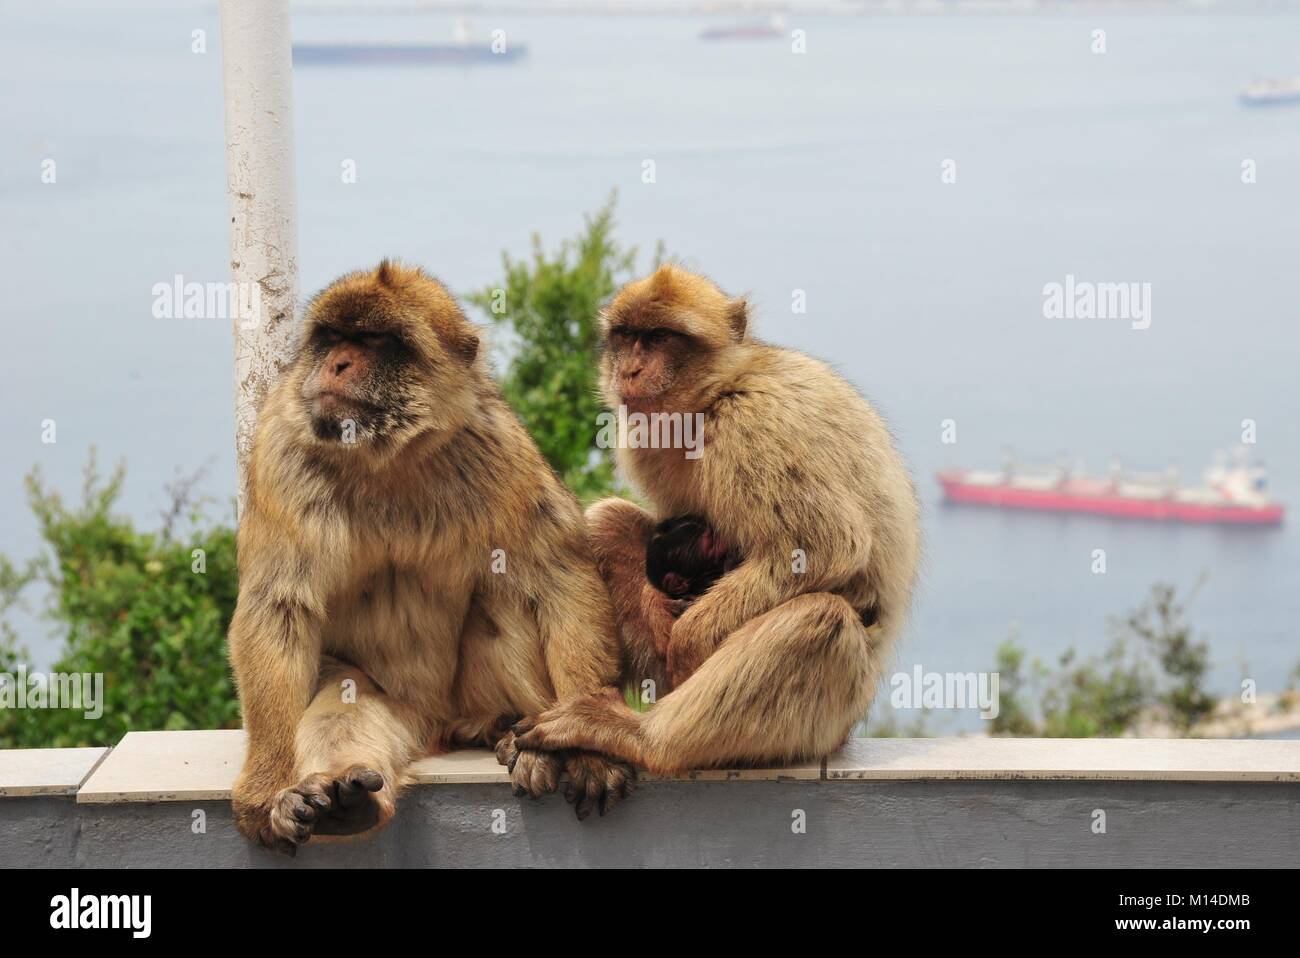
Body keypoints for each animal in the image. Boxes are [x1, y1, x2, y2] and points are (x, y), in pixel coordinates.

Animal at [227, 260, 633, 854]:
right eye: (332, 337)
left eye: (375, 341)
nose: (335, 363)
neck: (387, 455)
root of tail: (438, 725)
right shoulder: (282, 450)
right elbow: (278, 607)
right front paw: (265, 791)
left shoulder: (501, 448)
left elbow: (560, 577)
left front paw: (590, 745)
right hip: (399, 715)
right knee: (345, 697)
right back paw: (343, 798)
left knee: (503, 598)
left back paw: (518, 741)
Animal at [511, 264, 920, 775]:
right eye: (626, 336)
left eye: (659, 337)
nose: (629, 370)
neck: (712, 399)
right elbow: (668, 531)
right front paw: (659, 601)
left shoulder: (753, 425)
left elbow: (823, 545)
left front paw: (688, 637)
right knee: (608, 520)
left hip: (826, 722)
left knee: (820, 619)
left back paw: (642, 737)